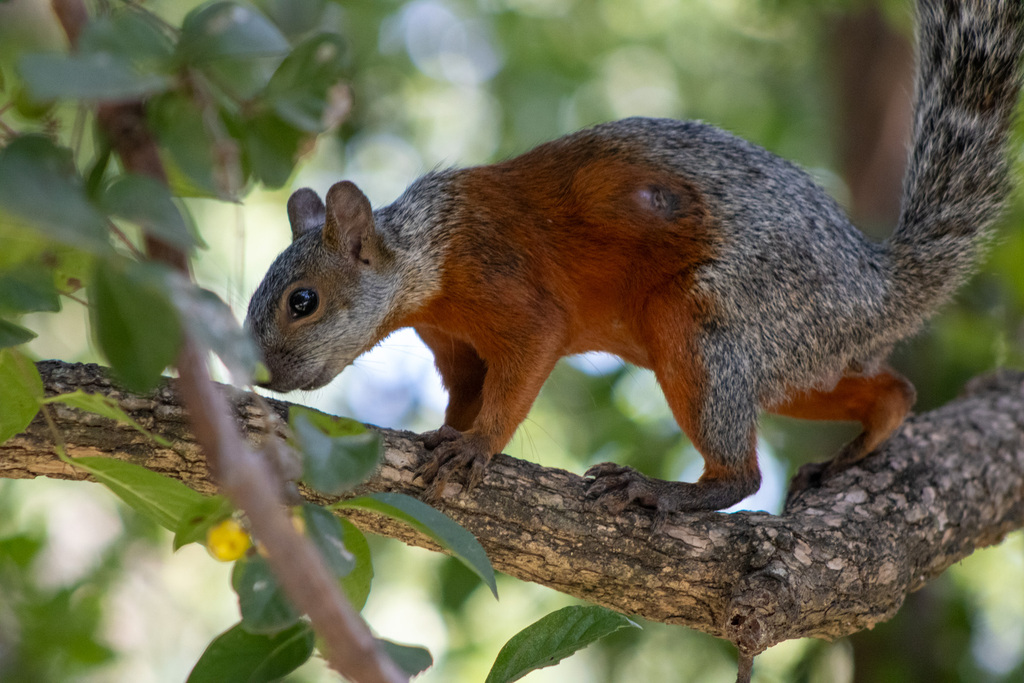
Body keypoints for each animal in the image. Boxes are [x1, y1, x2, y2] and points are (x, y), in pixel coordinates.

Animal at [246, 0, 1024, 516]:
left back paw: (668, 492)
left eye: (302, 301)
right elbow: (466, 391)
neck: (426, 259)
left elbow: (523, 363)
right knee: (888, 389)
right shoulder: (454, 344)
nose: (268, 377)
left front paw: (475, 447)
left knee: (741, 475)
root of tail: (875, 288)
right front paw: (446, 432)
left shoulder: (508, 286)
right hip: (792, 358)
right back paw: (864, 440)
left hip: (708, 321)